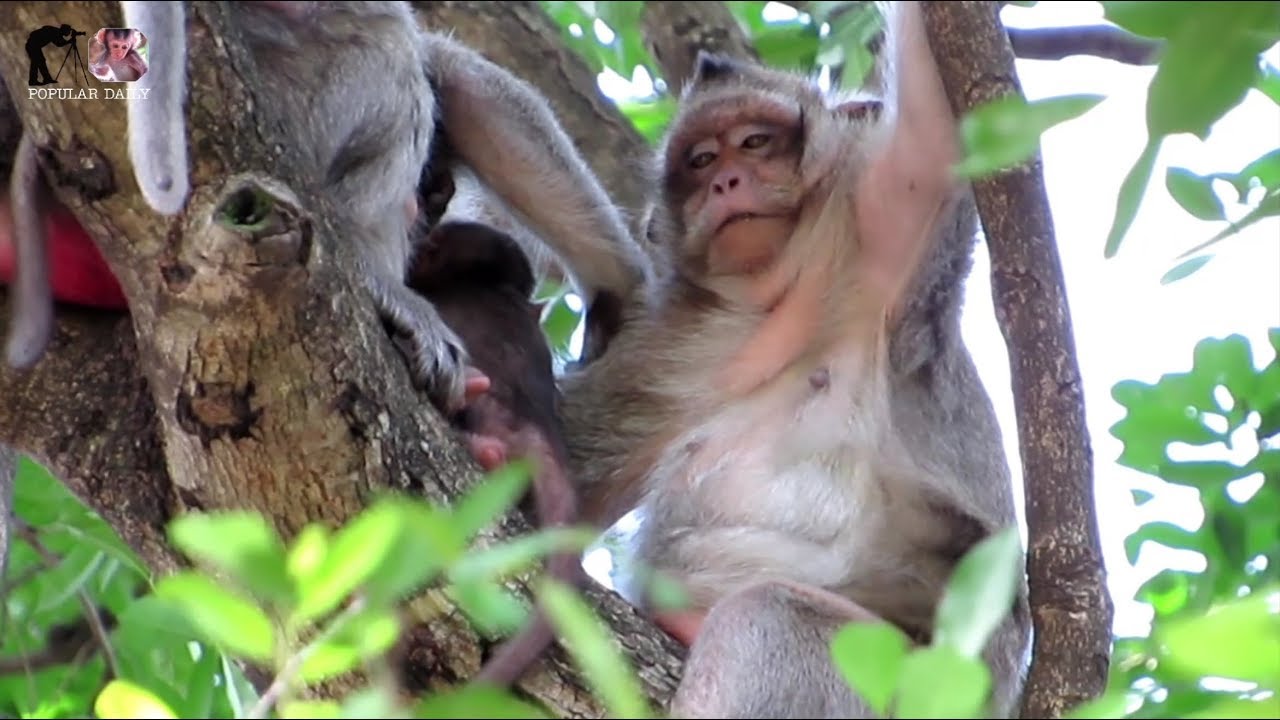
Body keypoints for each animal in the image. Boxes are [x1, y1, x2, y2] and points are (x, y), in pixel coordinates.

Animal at [465, 2, 1031, 717]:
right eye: (702, 159)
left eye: (756, 142)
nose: (726, 181)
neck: (789, 297)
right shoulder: (678, 349)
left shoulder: (892, 224)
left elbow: (932, 107)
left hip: (922, 680)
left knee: (772, 616)